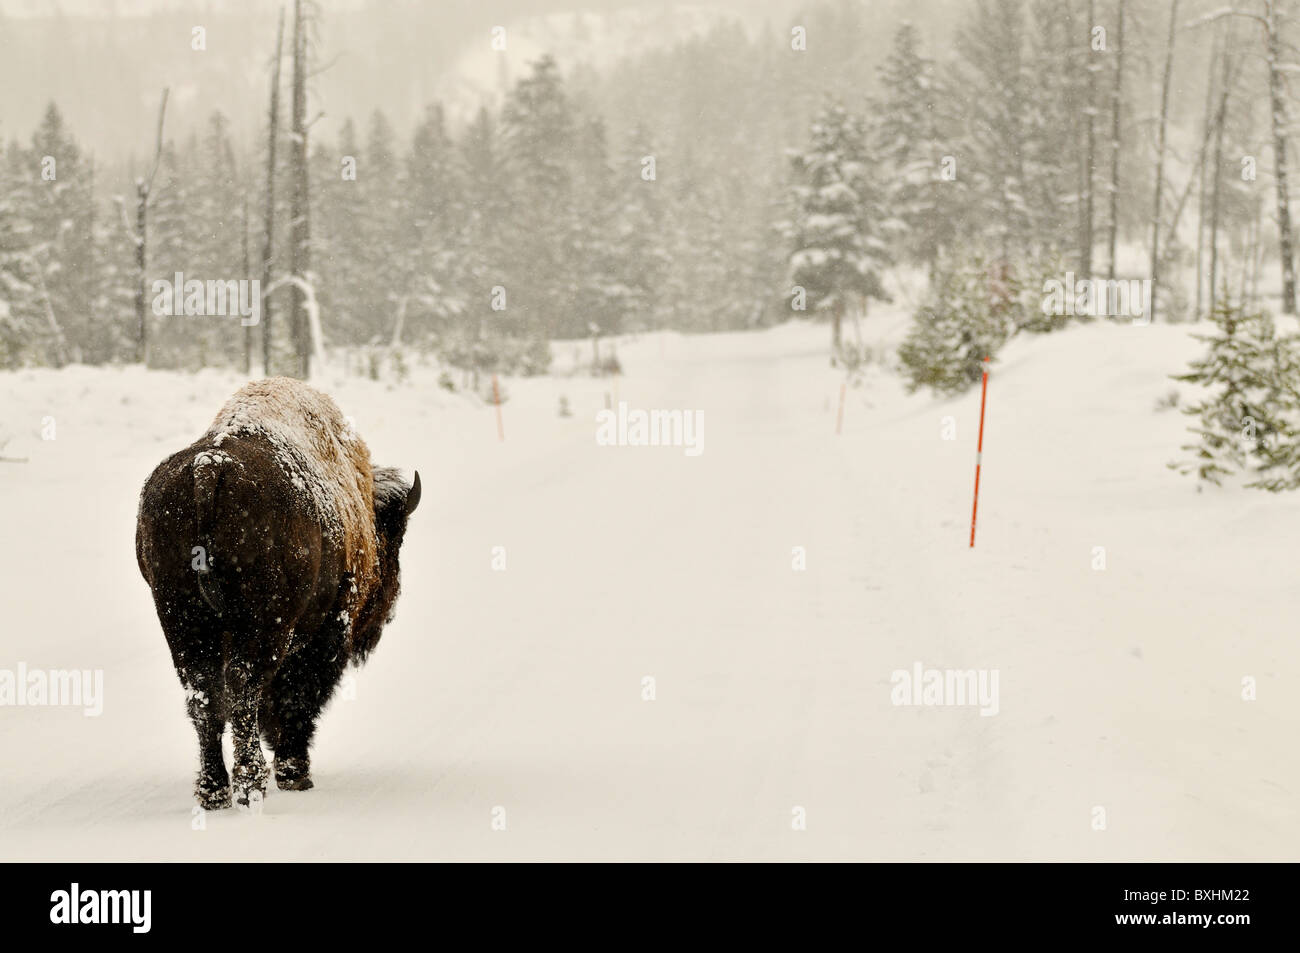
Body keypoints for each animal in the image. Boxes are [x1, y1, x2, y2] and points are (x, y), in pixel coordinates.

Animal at [136, 377, 420, 809]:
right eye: (396, 538)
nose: (385, 611)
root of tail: (209, 467)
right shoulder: (324, 633)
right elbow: (299, 696)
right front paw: (295, 772)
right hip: (265, 625)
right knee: (245, 690)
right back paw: (252, 785)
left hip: (180, 619)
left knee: (204, 696)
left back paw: (213, 791)